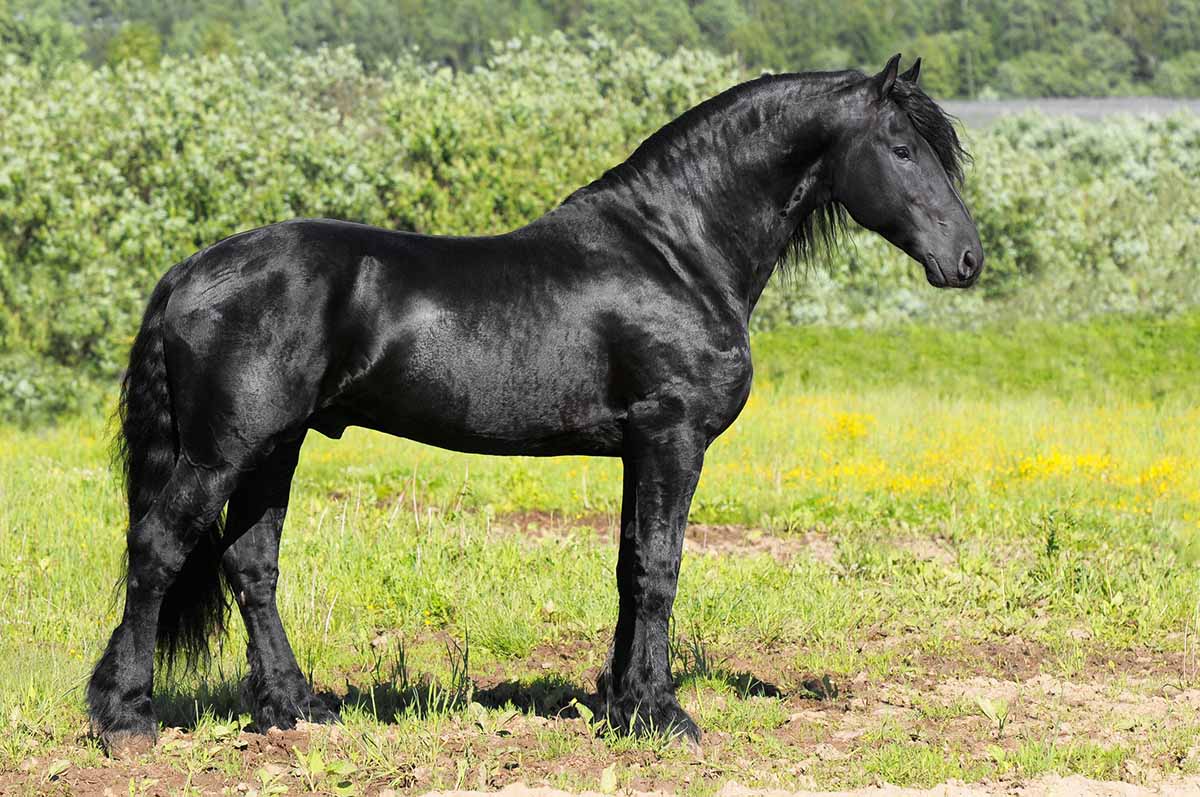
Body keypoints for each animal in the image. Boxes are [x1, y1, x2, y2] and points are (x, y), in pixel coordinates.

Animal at [87, 54, 982, 752]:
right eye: (902, 148)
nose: (968, 259)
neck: (676, 250)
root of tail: (191, 270)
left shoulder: (640, 447)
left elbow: (628, 565)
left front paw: (623, 704)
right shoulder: (672, 437)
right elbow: (659, 568)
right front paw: (664, 715)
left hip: (277, 446)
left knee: (250, 563)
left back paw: (293, 708)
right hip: (224, 449)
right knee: (158, 548)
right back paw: (126, 716)